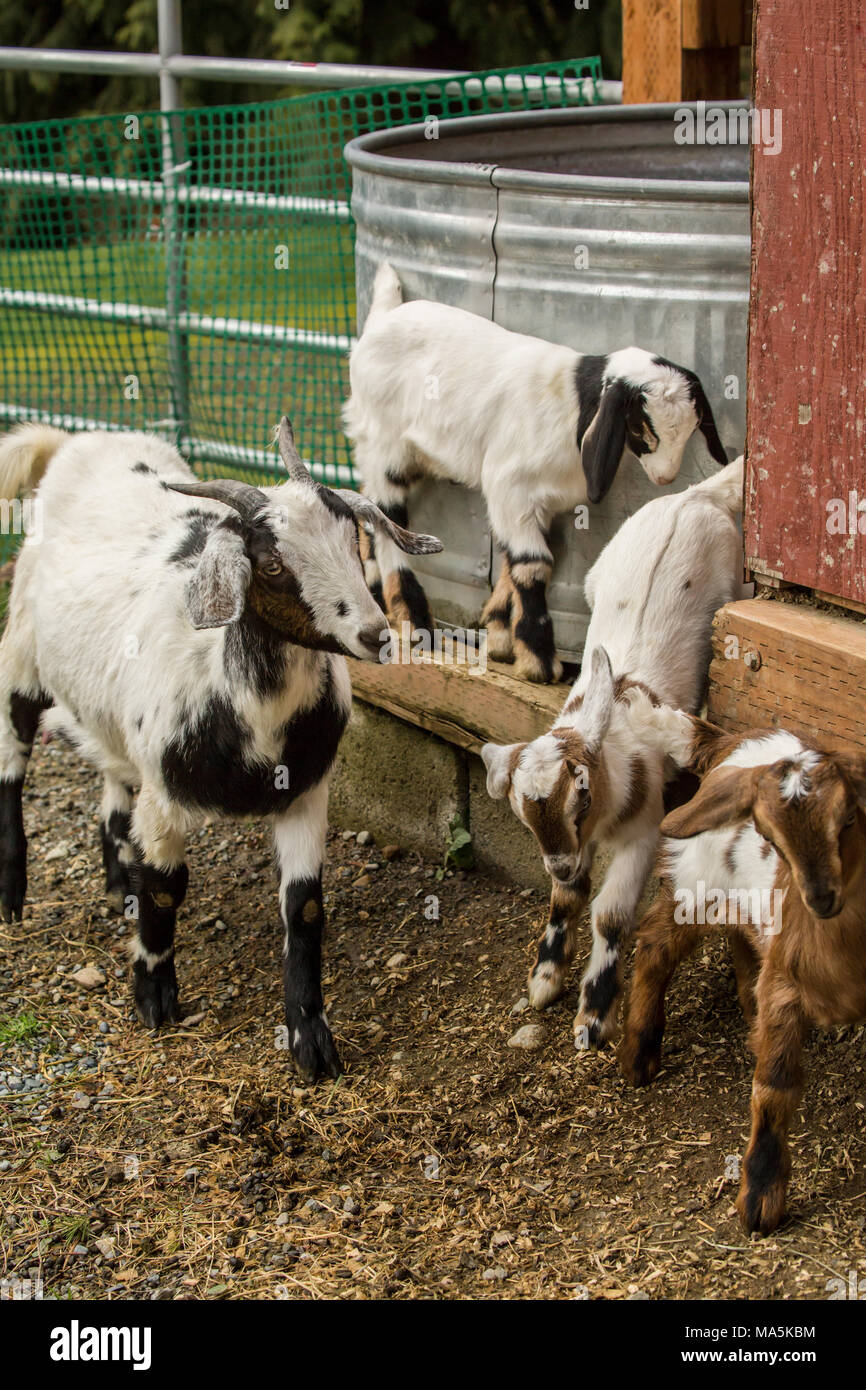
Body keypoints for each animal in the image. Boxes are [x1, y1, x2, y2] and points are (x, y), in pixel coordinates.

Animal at [0, 418, 441, 1082]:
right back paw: (12, 896)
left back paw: (116, 878)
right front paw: (154, 998)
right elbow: (164, 889)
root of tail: (74, 442)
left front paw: (311, 1040)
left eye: (355, 537)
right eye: (272, 564)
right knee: (12, 765)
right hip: (20, 658)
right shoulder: (164, 796)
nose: (375, 634)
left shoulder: (305, 796)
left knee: (111, 771)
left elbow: (304, 909)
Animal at [344, 261, 729, 683]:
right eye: (640, 427)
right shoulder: (508, 486)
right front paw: (539, 661)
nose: (665, 477)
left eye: (692, 428)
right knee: (389, 518)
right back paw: (414, 620)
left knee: (369, 510)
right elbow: (532, 565)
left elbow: (514, 561)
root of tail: (382, 317)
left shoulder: (539, 504)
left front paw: (499, 634)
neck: (573, 404)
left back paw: (375, 592)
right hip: (385, 445)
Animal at [480, 459, 744, 1045]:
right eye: (519, 811)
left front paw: (594, 1015)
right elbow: (567, 898)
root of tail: (695, 495)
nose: (557, 864)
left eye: (581, 788)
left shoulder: (644, 832)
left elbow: (611, 915)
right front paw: (544, 979)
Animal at [620, 720, 866, 1234]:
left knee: (743, 940)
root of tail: (728, 741)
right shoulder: (786, 985)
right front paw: (761, 1199)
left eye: (850, 817)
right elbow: (773, 1088)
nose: (820, 897)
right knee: (655, 945)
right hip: (695, 886)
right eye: (767, 833)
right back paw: (639, 1055)